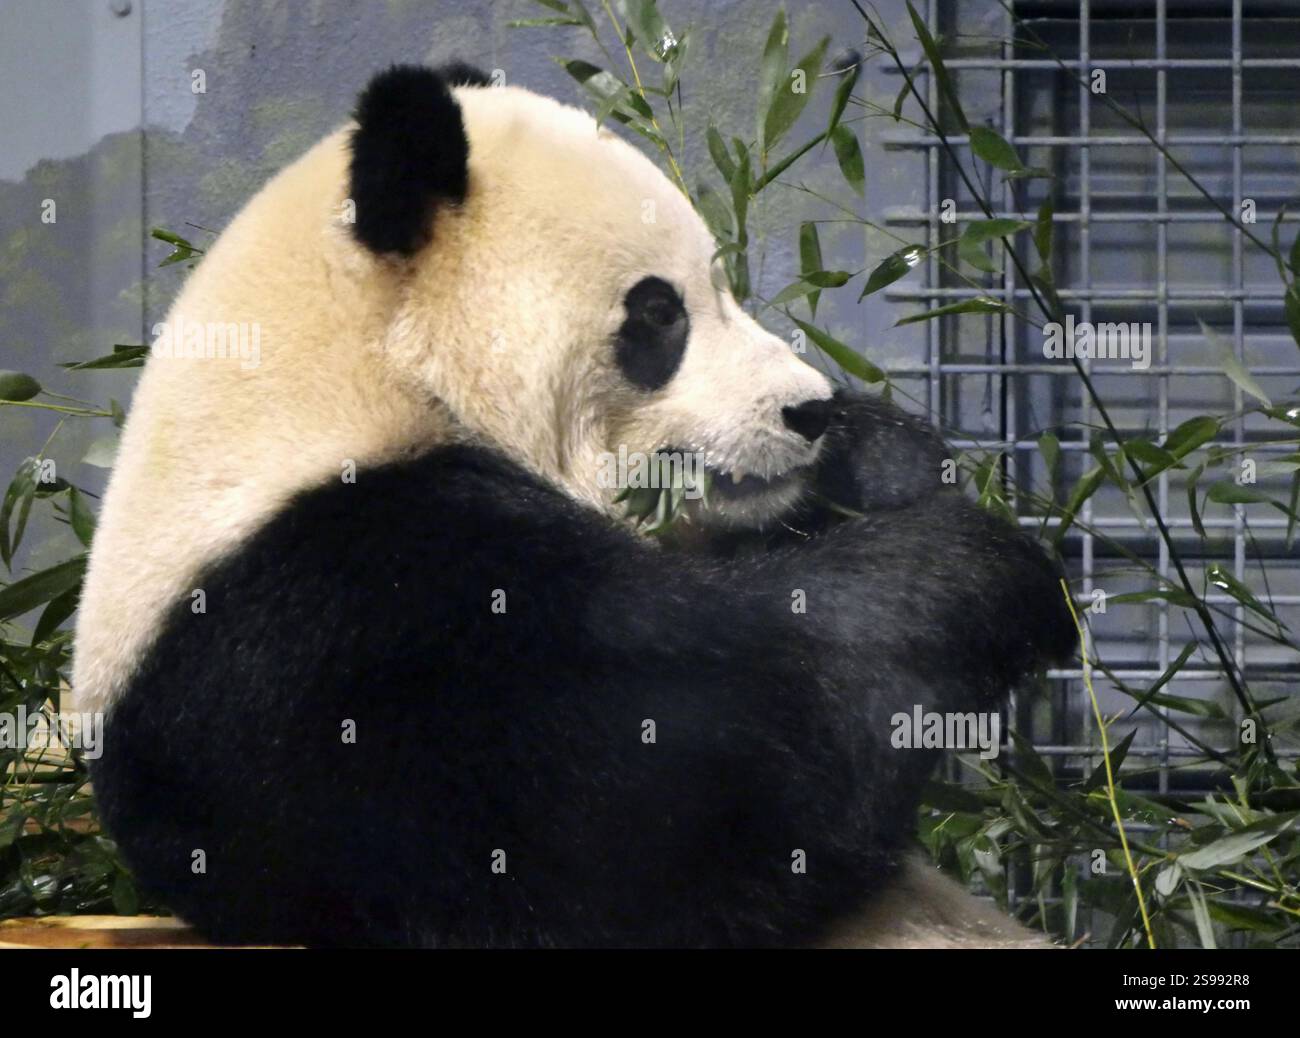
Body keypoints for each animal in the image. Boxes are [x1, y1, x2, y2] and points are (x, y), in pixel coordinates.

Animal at [73, 64, 1074, 948]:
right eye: (660, 311)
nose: (808, 408)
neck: (362, 379)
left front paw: (881, 460)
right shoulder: (343, 623)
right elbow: (680, 790)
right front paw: (977, 572)